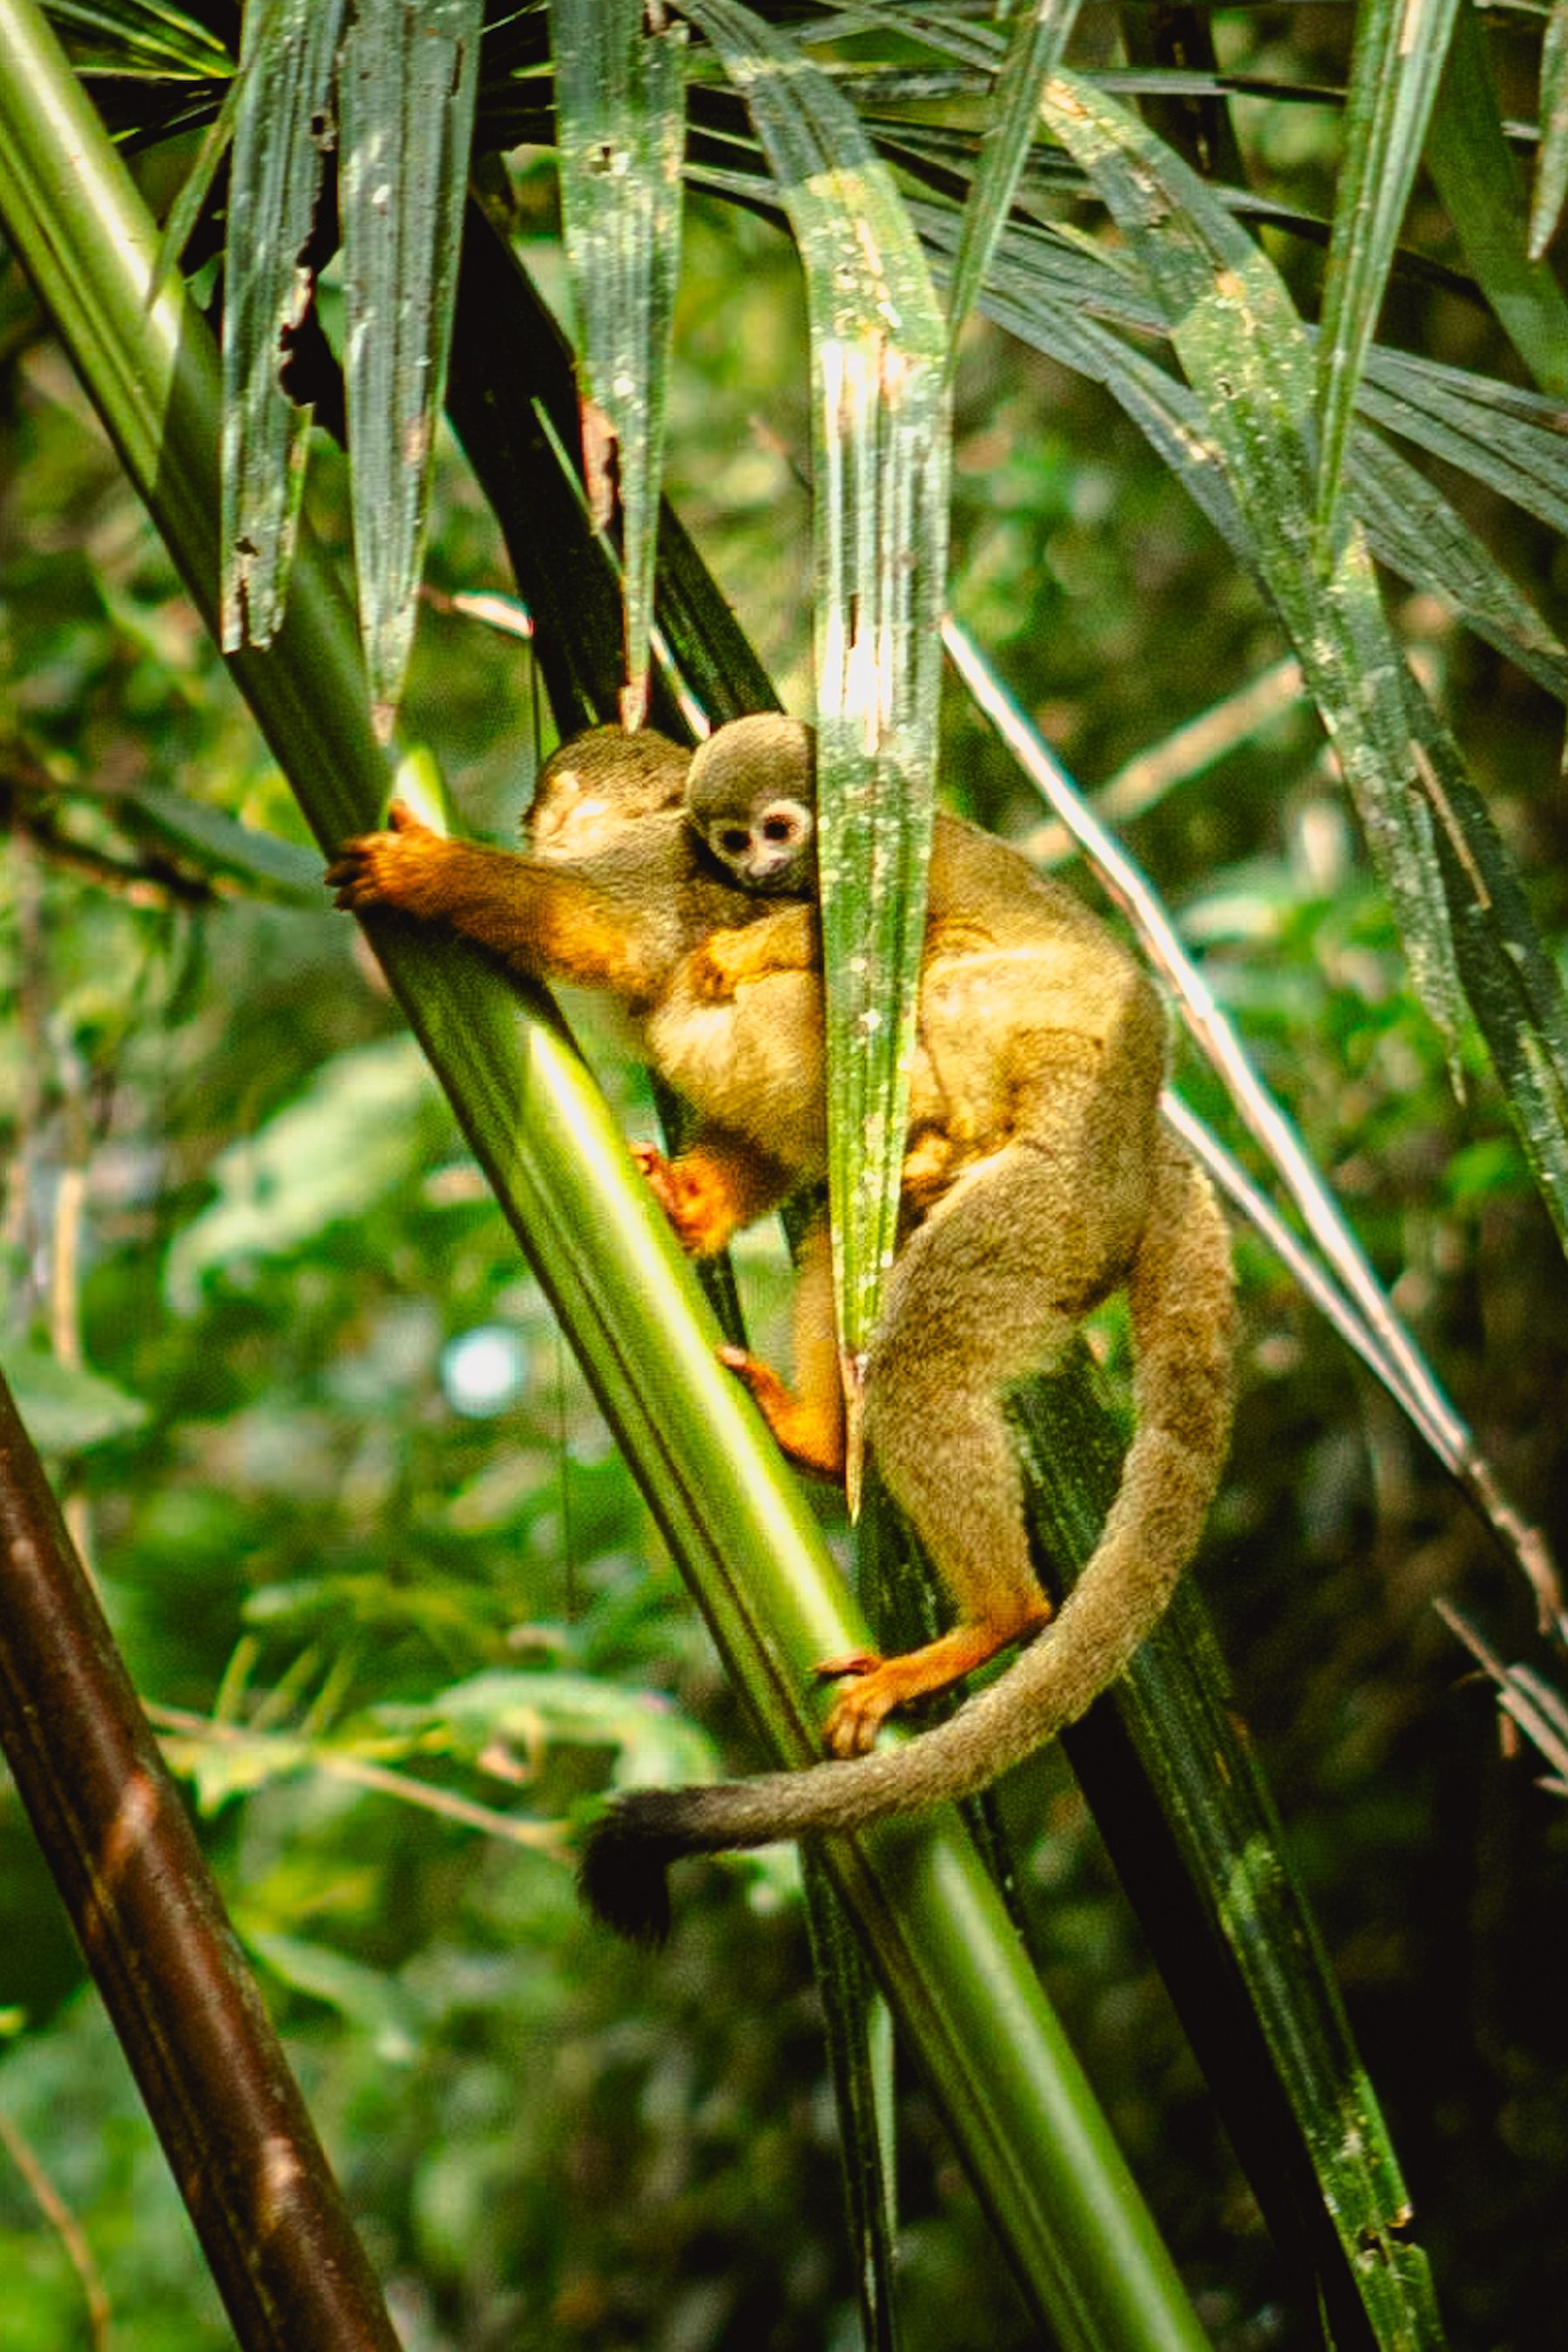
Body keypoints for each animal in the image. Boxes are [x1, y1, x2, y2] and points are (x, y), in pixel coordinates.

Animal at [326, 715, 1235, 1944]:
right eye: (735, 833)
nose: (530, 816)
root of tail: (1144, 1153)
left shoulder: (664, 870)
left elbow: (601, 925)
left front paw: (426, 872)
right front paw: (696, 1203)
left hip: (1051, 1207)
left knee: (922, 1351)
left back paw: (993, 1616)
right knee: (844, 1241)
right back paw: (819, 1431)